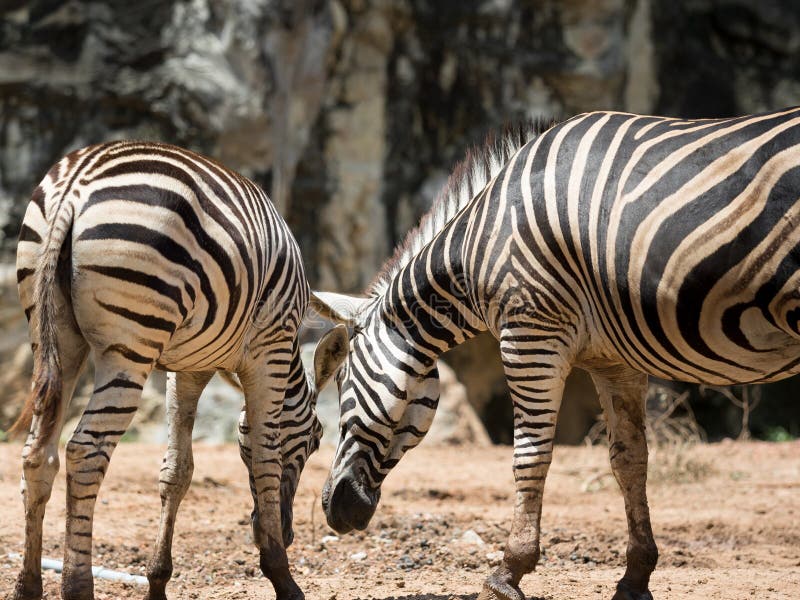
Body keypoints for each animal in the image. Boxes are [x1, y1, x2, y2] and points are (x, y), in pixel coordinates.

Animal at [10, 141, 346, 600]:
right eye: (315, 441)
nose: (289, 532)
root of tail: (75, 185)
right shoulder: (270, 347)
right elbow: (266, 457)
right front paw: (282, 575)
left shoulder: (187, 367)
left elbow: (177, 470)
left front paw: (157, 580)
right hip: (130, 344)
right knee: (84, 452)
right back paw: (78, 586)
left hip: (56, 336)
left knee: (37, 455)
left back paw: (27, 586)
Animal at [310, 106, 800, 600]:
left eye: (341, 382)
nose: (334, 510)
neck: (476, 244)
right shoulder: (615, 360)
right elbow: (629, 458)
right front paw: (635, 576)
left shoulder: (530, 332)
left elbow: (530, 456)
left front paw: (508, 572)